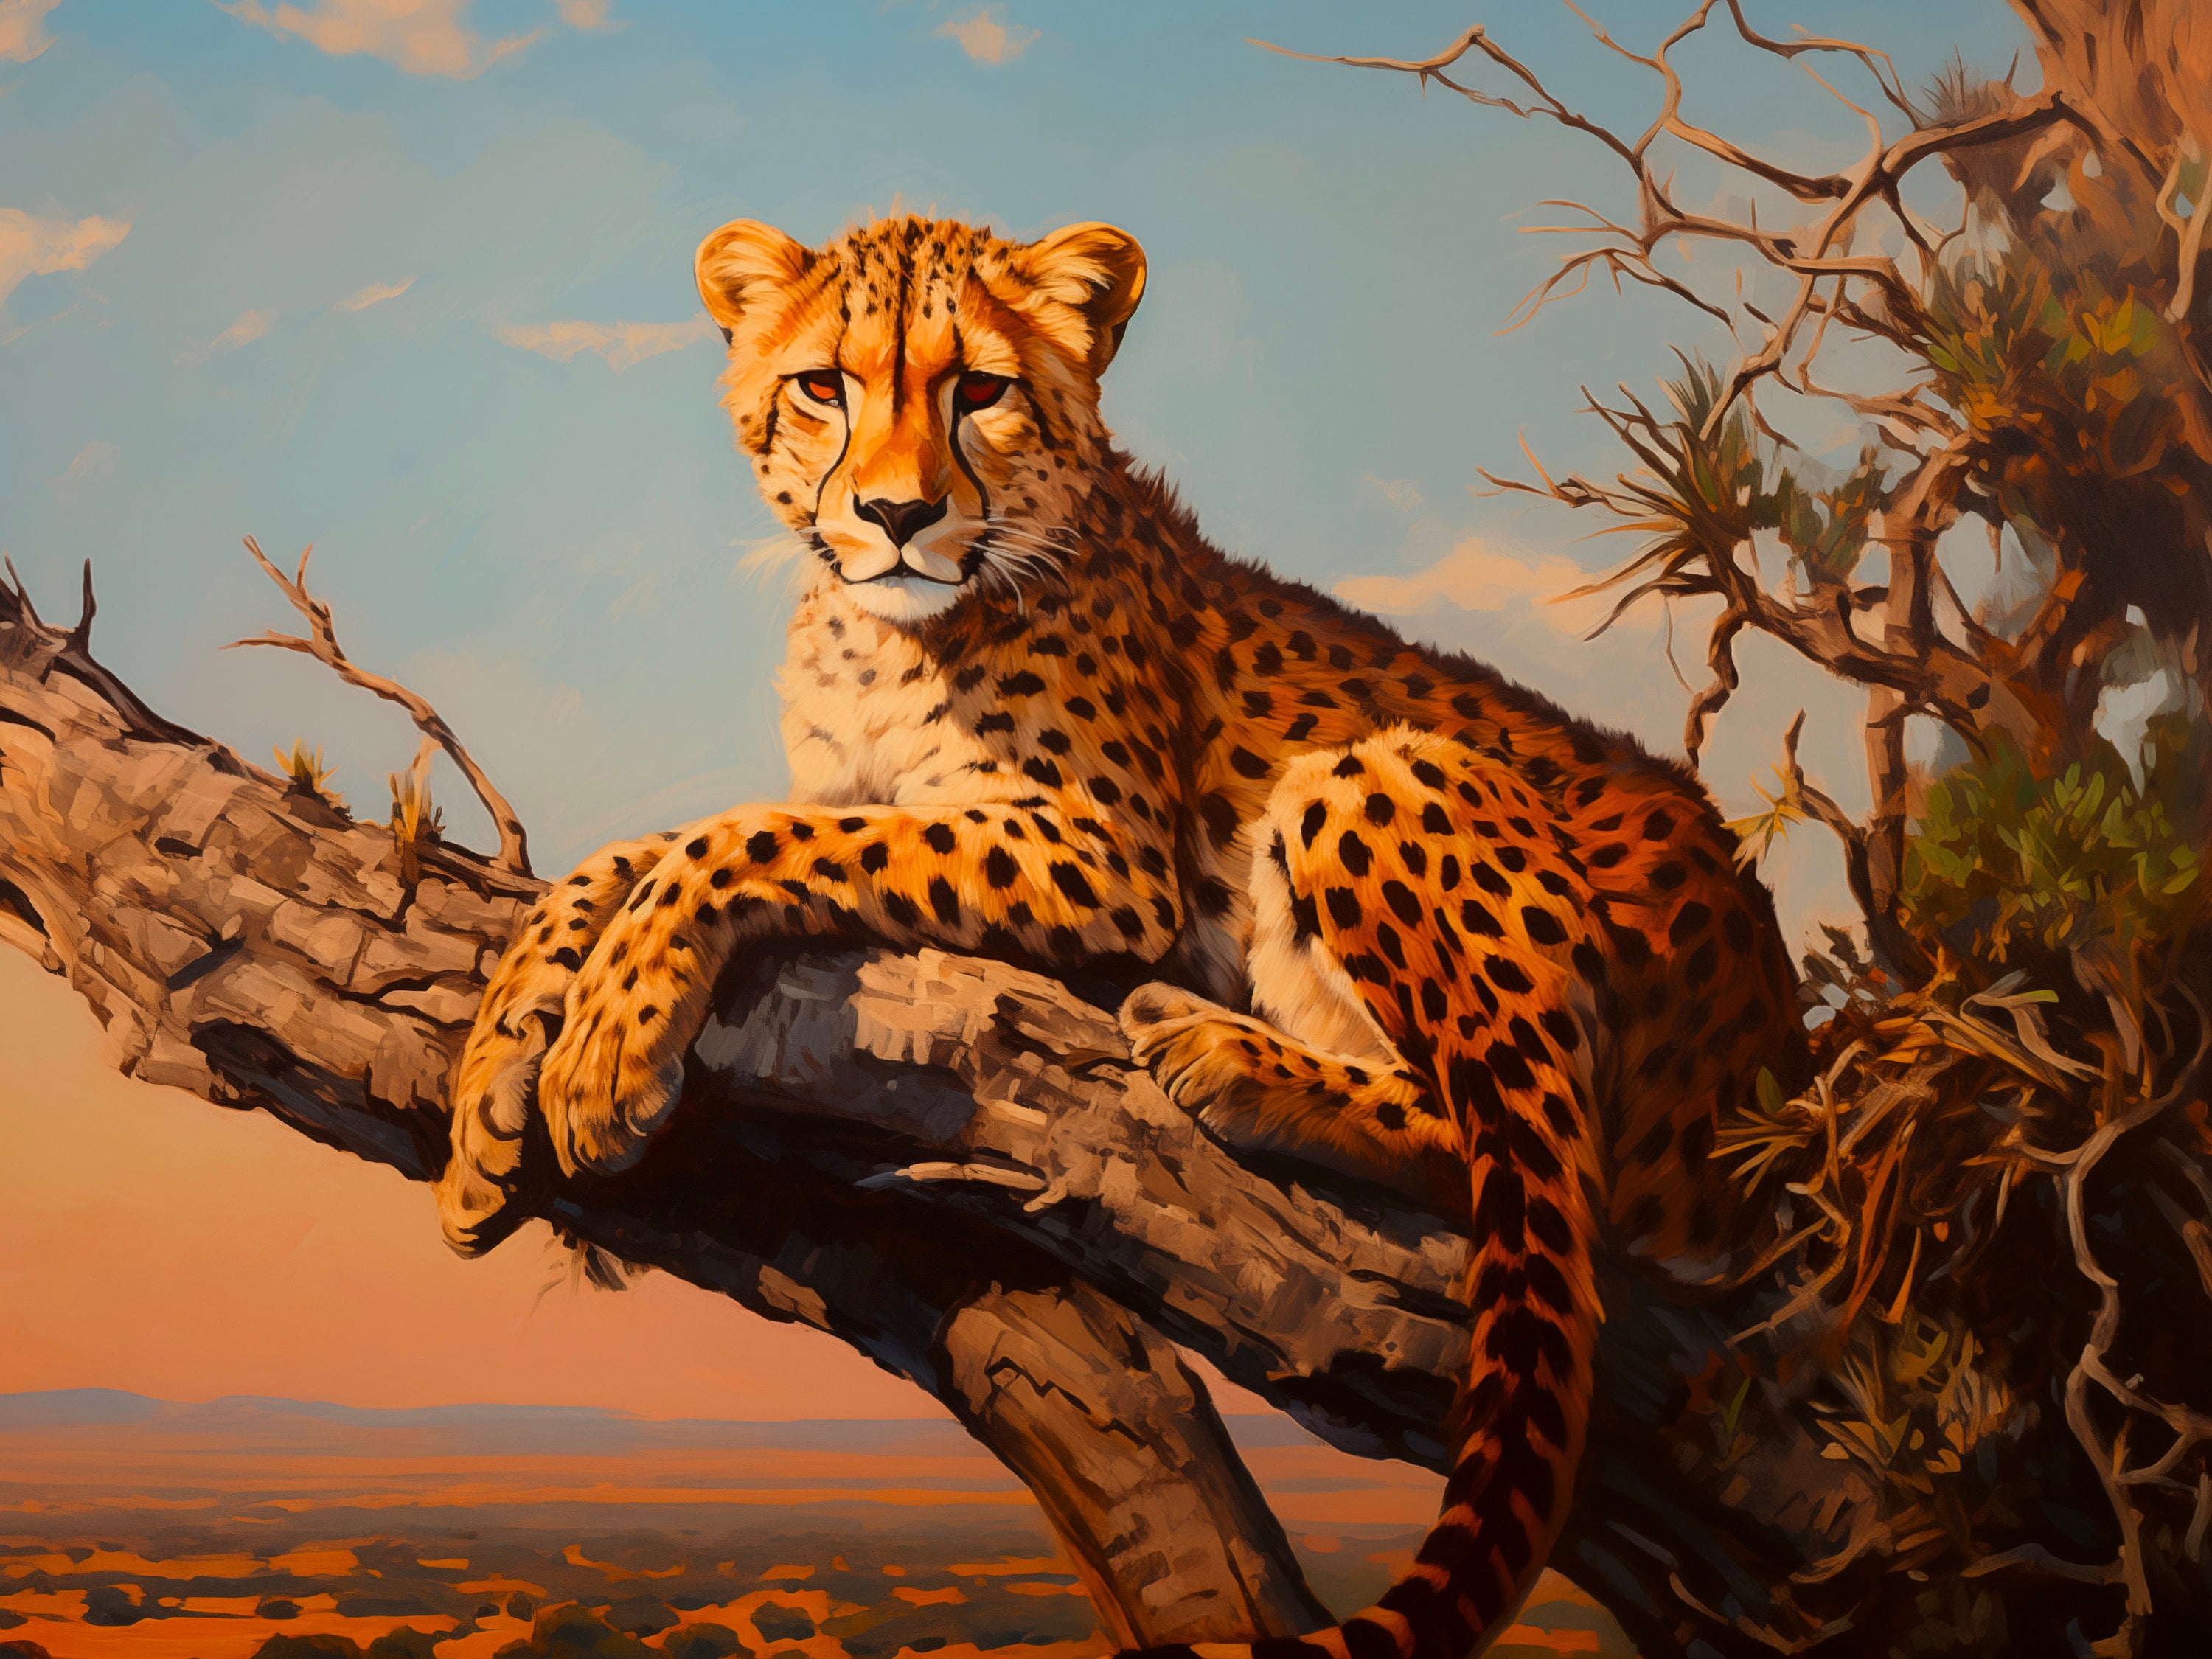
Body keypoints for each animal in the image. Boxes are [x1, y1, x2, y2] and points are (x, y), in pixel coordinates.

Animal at [435, 212, 1807, 1659]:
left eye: (979, 389)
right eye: (824, 387)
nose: (897, 515)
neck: (880, 628)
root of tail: (1781, 1073)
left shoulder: (1100, 857)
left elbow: (736, 837)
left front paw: (607, 1051)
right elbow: (624, 859)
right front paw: (493, 1098)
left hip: (1368, 773)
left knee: (1530, 1152)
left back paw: (1223, 1053)